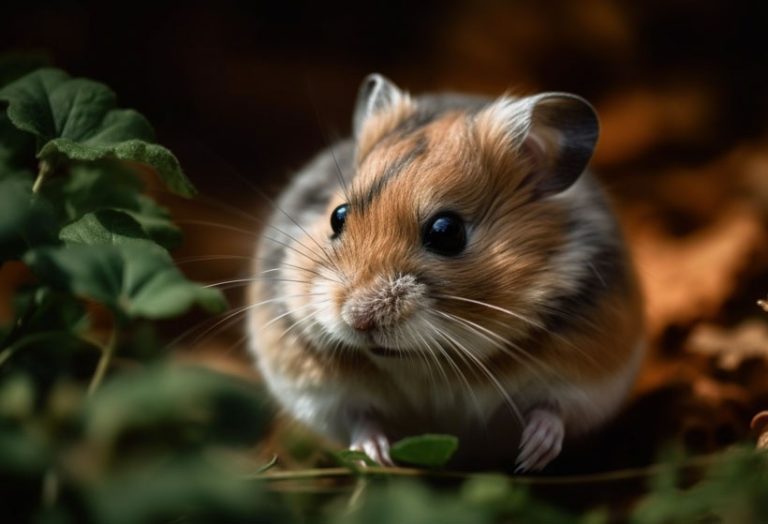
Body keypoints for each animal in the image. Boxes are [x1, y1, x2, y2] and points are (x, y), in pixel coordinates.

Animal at [247, 74, 644, 471]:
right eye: (337, 216)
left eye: (446, 232)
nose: (358, 320)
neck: (425, 361)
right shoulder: (317, 393)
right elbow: (359, 418)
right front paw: (375, 457)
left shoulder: (589, 380)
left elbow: (553, 410)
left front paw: (530, 457)